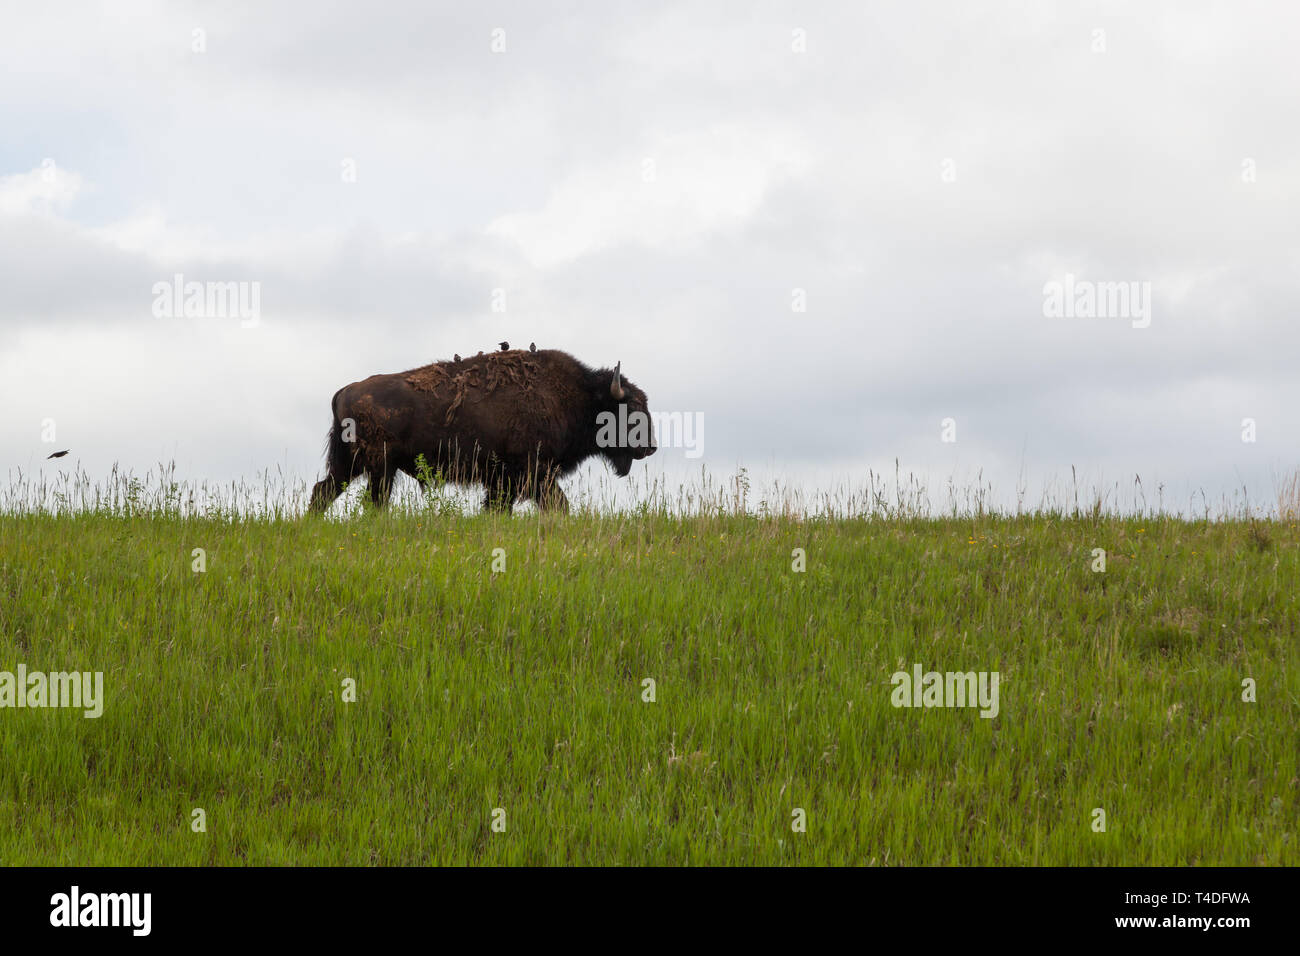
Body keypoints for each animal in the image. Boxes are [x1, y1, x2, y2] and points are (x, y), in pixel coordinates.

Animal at [309, 348, 656, 514]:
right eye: (631, 408)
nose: (650, 446)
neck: (580, 396)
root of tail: (346, 390)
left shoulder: (505, 480)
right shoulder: (535, 472)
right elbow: (559, 505)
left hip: (353, 464)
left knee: (323, 491)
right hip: (379, 467)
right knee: (371, 500)